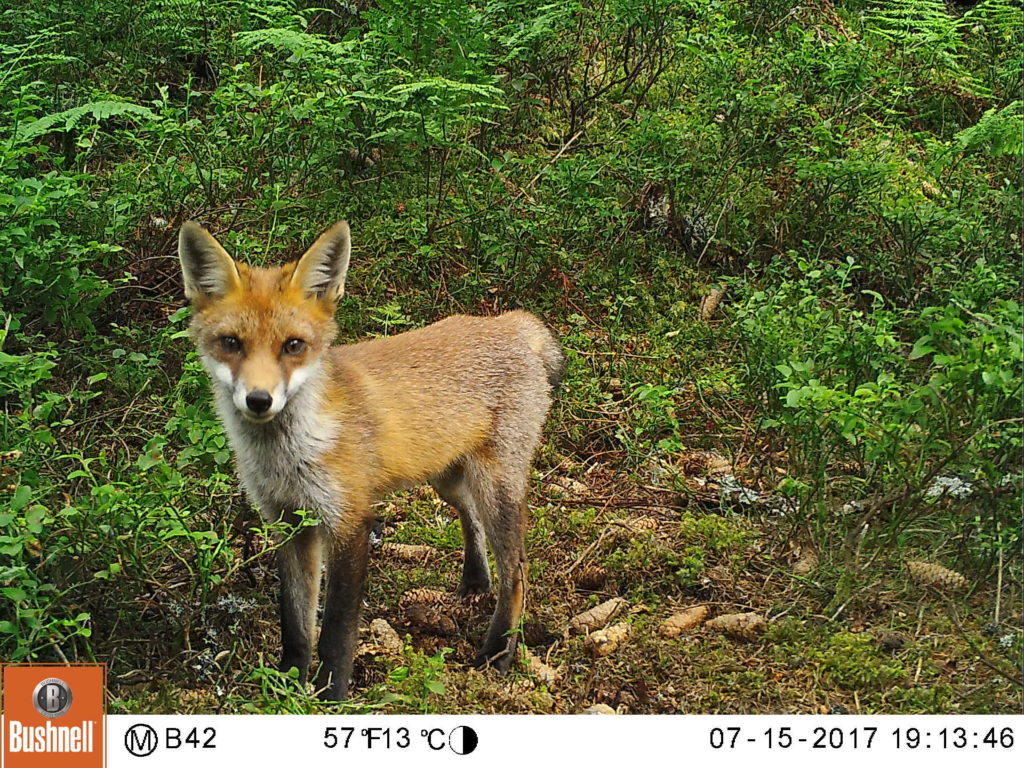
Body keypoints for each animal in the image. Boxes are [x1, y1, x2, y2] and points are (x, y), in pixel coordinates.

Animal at [177, 220, 563, 700]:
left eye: (293, 346)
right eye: (231, 343)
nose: (259, 400)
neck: (289, 456)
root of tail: (510, 322)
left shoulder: (349, 521)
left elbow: (336, 630)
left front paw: (330, 696)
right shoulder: (288, 522)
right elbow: (295, 624)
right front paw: (286, 687)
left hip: (497, 486)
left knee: (518, 570)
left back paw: (498, 653)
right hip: (448, 479)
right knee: (470, 518)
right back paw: (475, 582)